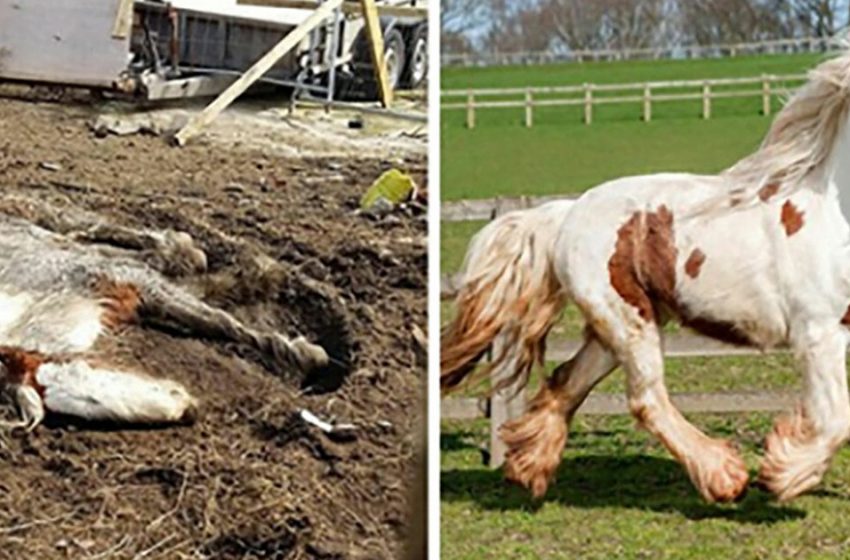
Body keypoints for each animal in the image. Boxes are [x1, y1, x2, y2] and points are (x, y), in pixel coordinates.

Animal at [442, 49, 850, 504]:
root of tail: (567, 213)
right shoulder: (818, 331)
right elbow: (836, 420)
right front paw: (781, 475)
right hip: (630, 320)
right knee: (646, 399)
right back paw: (724, 475)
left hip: (615, 328)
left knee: (567, 381)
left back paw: (527, 470)